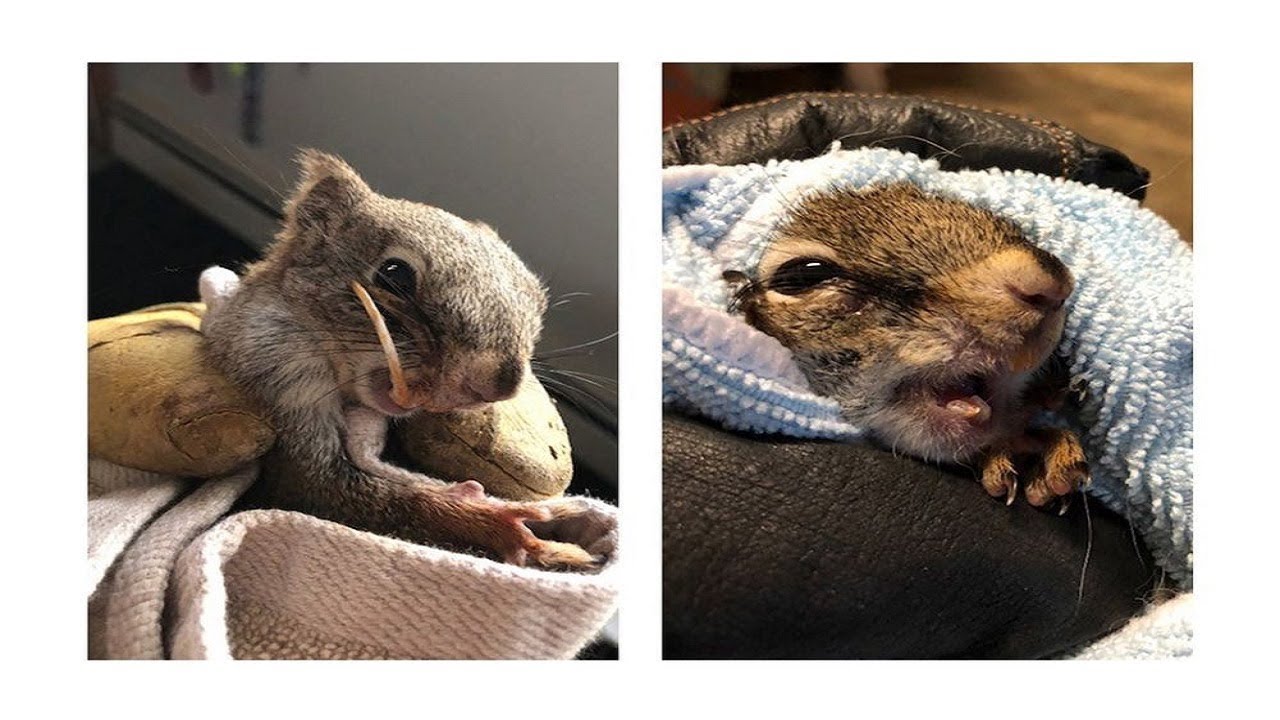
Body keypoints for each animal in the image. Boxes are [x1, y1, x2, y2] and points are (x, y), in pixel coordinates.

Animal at [200, 150, 606, 569]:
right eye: (394, 276)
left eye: (538, 304)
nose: (498, 385)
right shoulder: (276, 373)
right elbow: (325, 487)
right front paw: (499, 525)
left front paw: (563, 512)